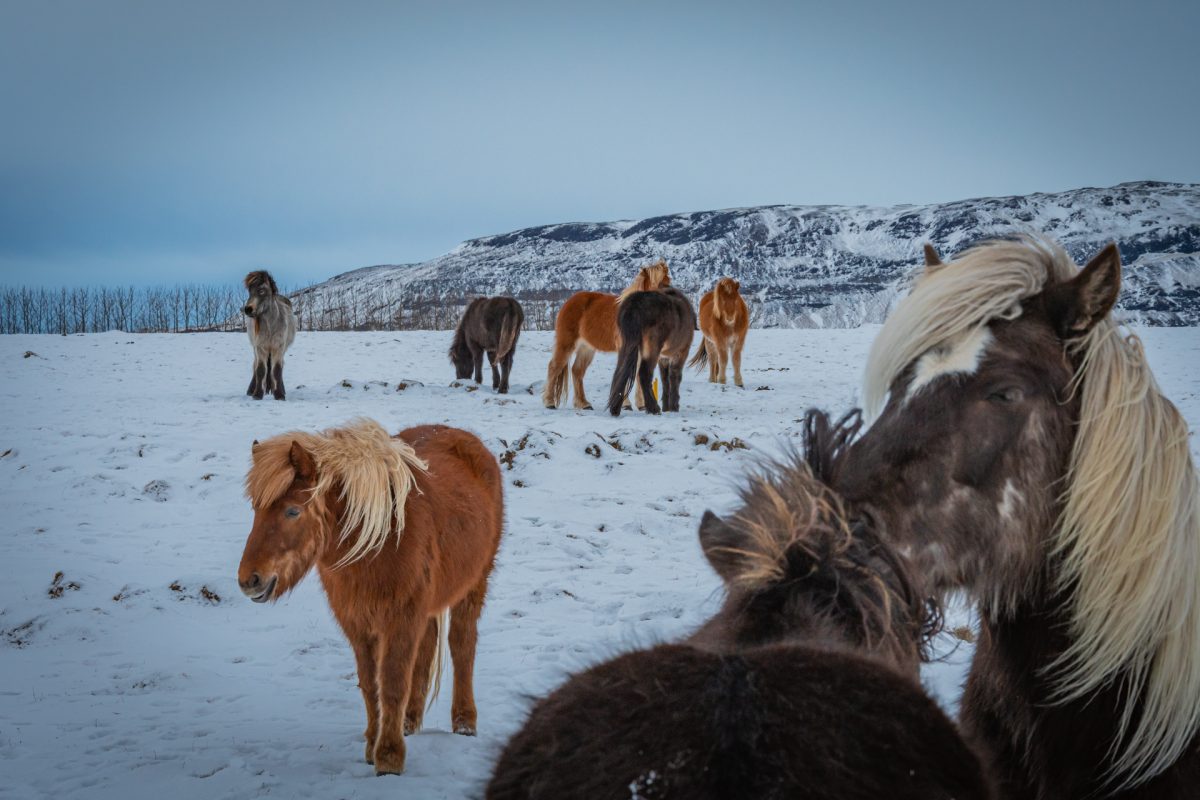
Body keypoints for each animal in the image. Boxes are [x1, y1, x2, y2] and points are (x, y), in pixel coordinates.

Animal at [237, 419, 504, 776]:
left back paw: (464, 722)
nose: (249, 580)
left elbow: (392, 682)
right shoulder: (358, 624)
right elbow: (370, 685)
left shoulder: (400, 619)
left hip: (474, 584)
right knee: (427, 647)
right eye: (256, 509)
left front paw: (389, 757)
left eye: (293, 511)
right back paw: (409, 720)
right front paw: (372, 745)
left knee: (462, 645)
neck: (381, 541)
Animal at [243, 270, 296, 400]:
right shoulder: (260, 347)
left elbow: (276, 369)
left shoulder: (278, 347)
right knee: (255, 365)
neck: (271, 326)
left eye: (262, 290)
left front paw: (280, 395)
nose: (248, 309)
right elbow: (260, 369)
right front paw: (257, 394)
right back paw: (251, 390)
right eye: (249, 290)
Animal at [542, 259, 671, 410]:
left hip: (586, 348)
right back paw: (549, 402)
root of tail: (569, 302)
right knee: (554, 367)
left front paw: (642, 405)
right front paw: (626, 405)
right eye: (659, 284)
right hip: (566, 344)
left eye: (668, 282)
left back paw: (584, 403)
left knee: (577, 371)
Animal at [606, 286, 695, 416]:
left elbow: (665, 379)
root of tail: (635, 305)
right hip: (652, 348)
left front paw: (667, 407)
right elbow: (675, 377)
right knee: (644, 373)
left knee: (620, 372)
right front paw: (674, 406)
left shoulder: (663, 358)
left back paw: (615, 408)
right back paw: (653, 408)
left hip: (626, 345)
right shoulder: (681, 353)